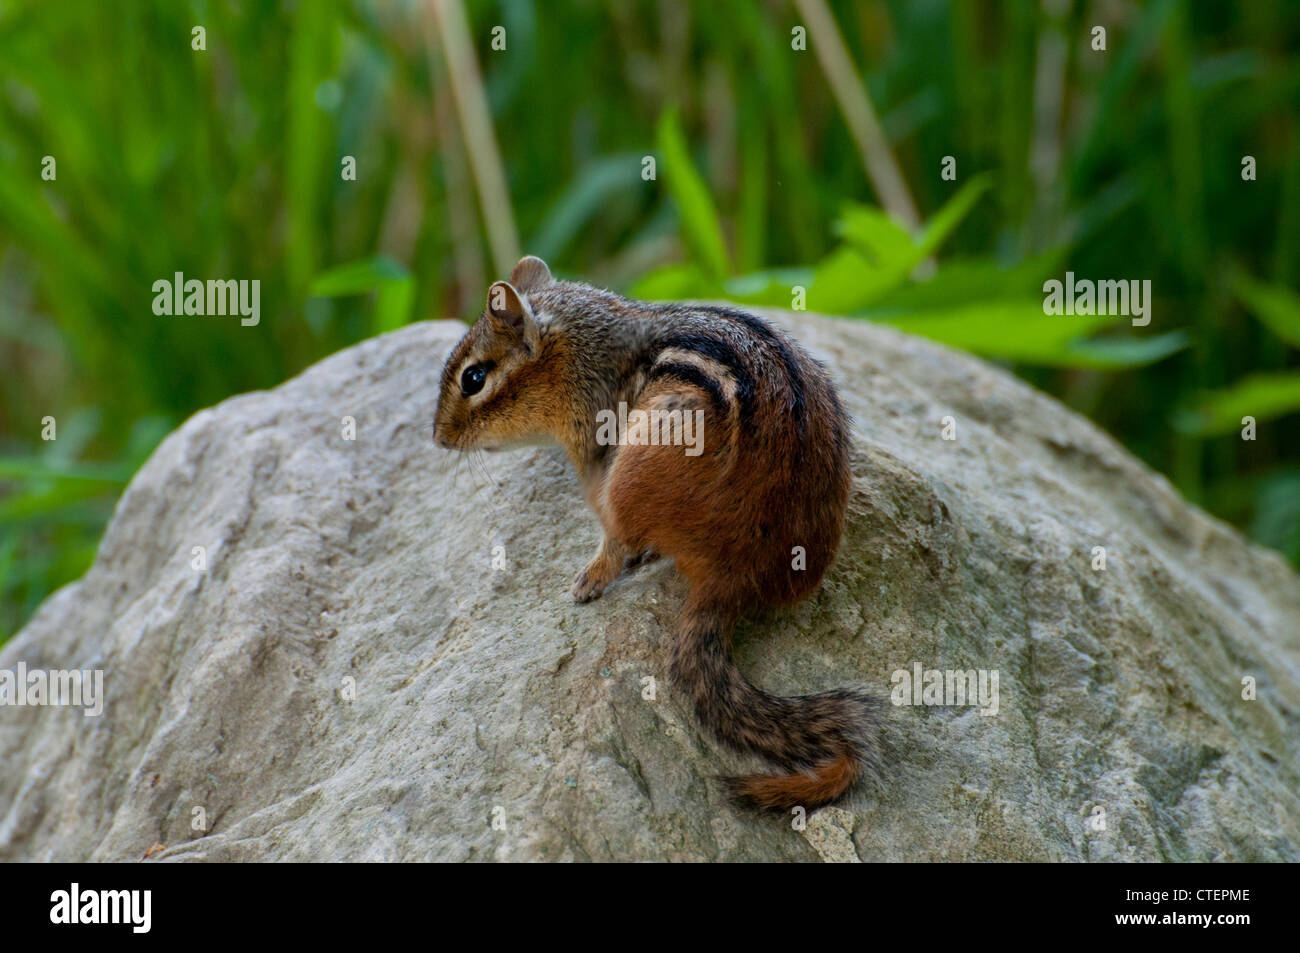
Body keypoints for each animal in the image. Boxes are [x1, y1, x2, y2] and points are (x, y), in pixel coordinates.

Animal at [433, 255, 881, 811]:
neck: (578, 347)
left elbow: (609, 532)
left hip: (640, 455)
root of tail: (735, 579)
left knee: (622, 529)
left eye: (473, 377)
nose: (438, 437)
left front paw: (593, 574)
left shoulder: (594, 448)